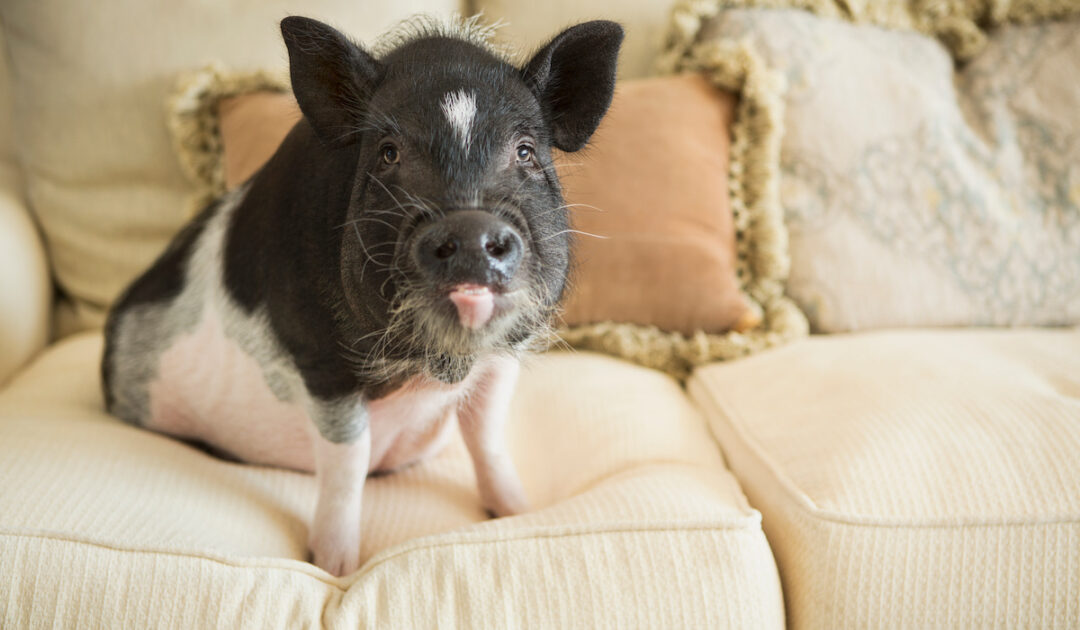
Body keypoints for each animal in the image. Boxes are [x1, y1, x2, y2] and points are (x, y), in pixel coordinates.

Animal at [100, 15, 623, 576]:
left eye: (525, 150)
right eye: (388, 152)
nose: (470, 226)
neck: (432, 368)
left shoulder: (506, 353)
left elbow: (487, 436)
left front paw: (520, 511)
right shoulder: (319, 360)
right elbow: (347, 460)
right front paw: (335, 567)